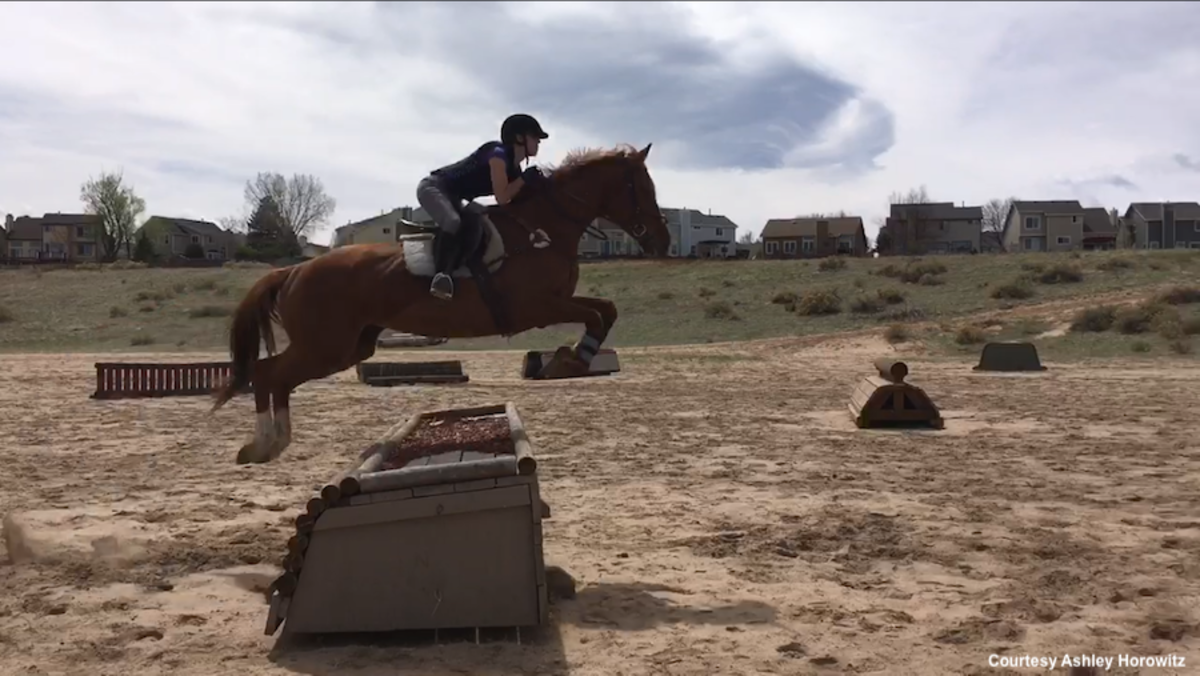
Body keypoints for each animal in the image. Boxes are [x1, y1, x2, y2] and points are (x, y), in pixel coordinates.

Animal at [211, 142, 672, 465]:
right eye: (640, 188)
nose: (663, 241)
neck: (544, 227)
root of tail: (293, 271)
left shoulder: (558, 301)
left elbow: (606, 310)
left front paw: (574, 359)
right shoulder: (538, 307)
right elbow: (595, 314)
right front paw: (568, 361)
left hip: (347, 347)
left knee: (276, 377)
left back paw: (272, 444)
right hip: (325, 345)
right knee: (269, 374)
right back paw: (263, 444)